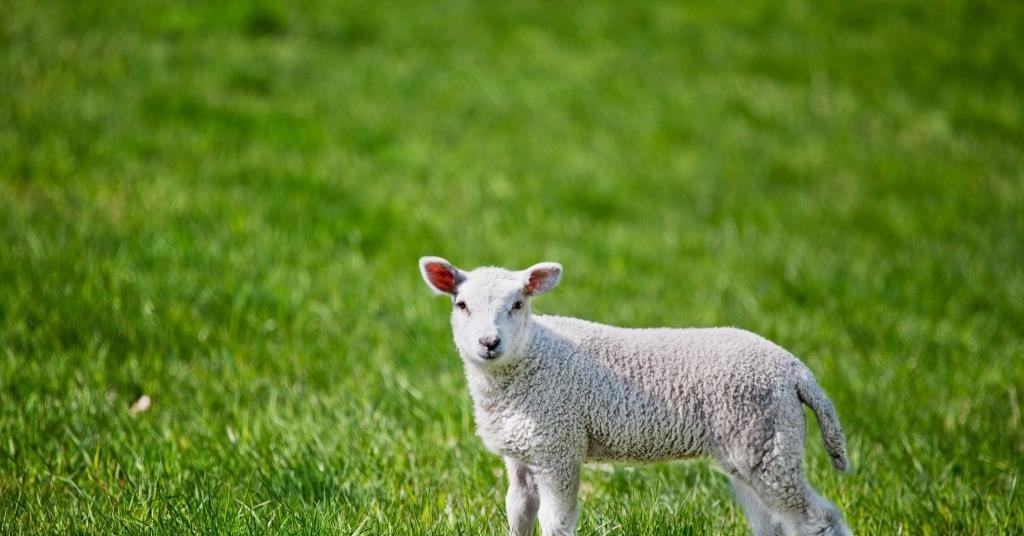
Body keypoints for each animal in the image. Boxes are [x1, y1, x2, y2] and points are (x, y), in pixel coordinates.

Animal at [418, 257, 852, 536]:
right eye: (461, 304)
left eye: (519, 304)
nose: (489, 343)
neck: (532, 359)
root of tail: (796, 371)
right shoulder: (522, 451)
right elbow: (520, 515)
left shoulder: (558, 446)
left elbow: (556, 523)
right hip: (754, 447)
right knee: (773, 522)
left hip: (769, 446)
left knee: (819, 520)